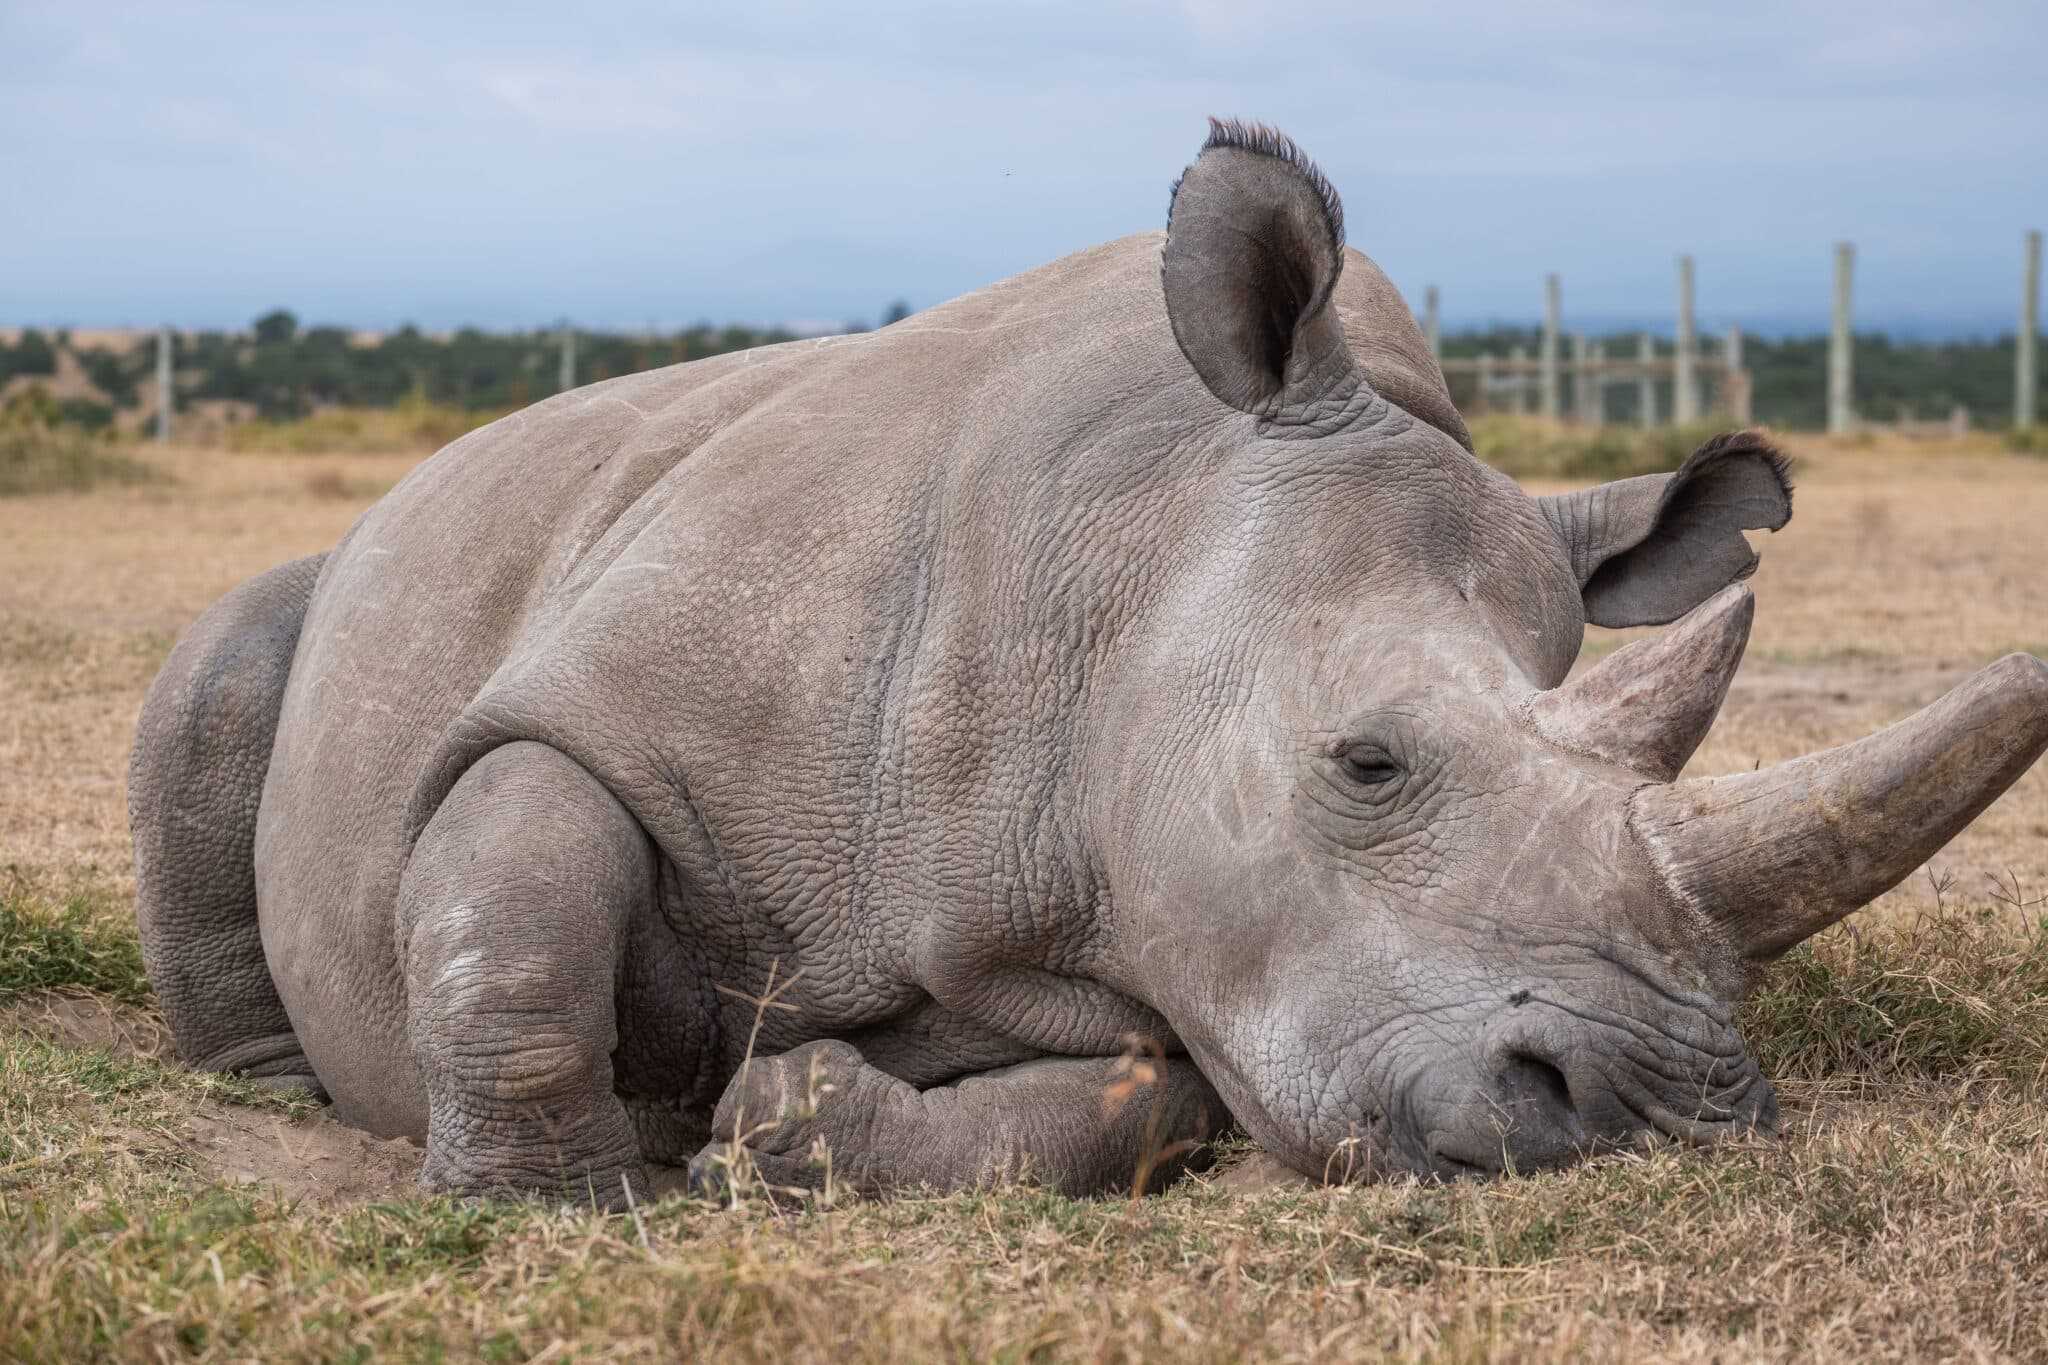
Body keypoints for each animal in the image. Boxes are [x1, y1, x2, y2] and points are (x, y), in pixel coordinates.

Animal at [130, 121, 2048, 1200]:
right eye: (1367, 763)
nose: (1660, 1117)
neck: (1135, 558)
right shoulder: (615, 704)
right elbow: (520, 867)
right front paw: (555, 1201)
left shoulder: (1189, 926)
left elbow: (1143, 1103)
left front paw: (784, 1120)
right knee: (218, 675)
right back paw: (272, 1089)